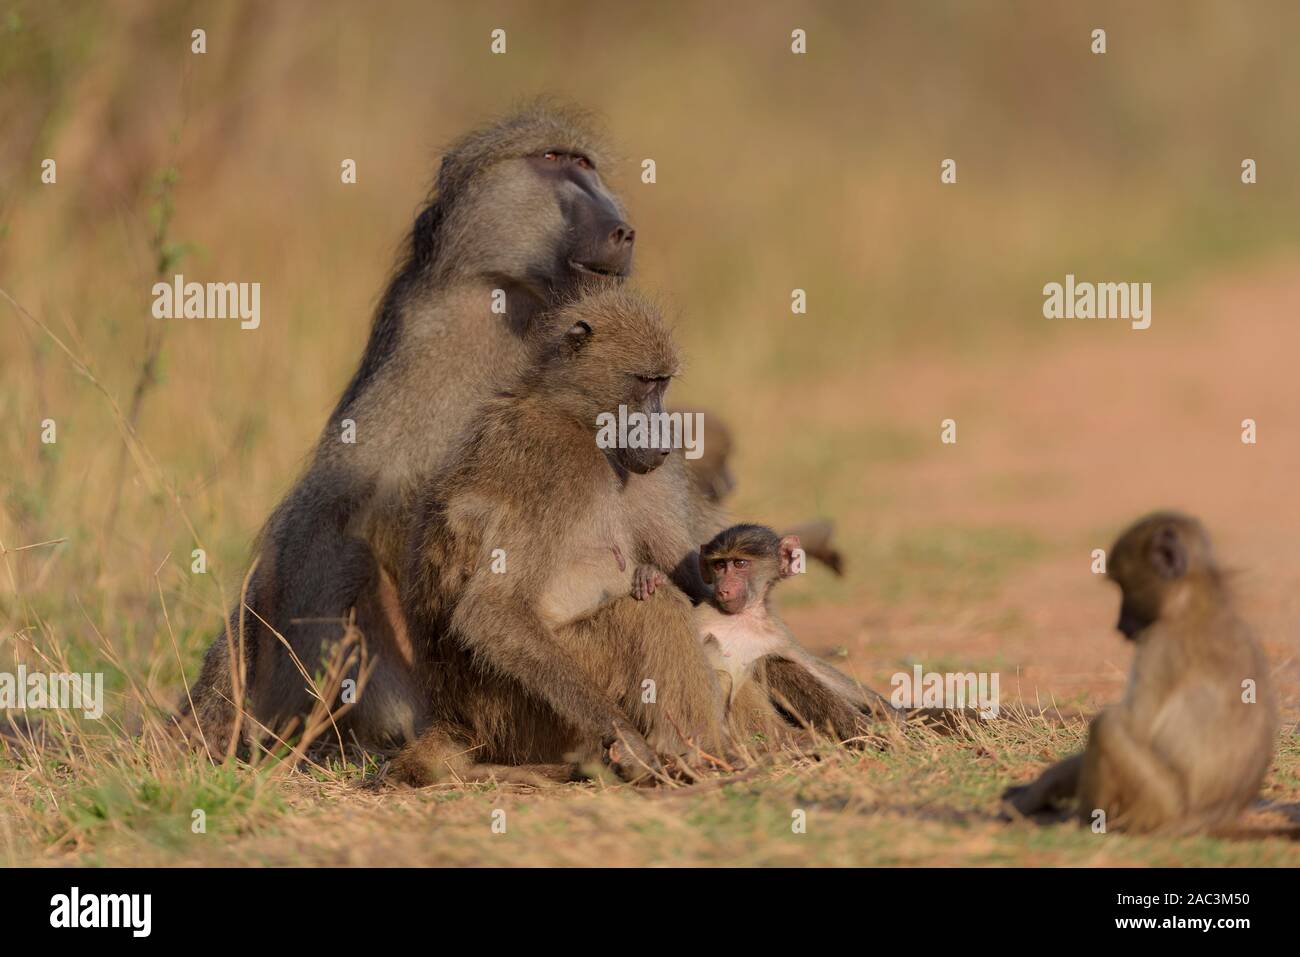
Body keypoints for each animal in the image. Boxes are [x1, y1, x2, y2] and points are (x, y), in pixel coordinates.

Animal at [181, 103, 653, 756]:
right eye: (554, 160)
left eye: (588, 165)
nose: (623, 230)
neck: (516, 298)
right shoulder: (433, 343)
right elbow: (346, 502)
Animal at [385, 287, 728, 786]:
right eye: (646, 382)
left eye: (663, 383)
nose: (665, 445)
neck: (579, 422)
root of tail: (456, 718)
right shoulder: (549, 467)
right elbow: (490, 612)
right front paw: (628, 740)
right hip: (520, 710)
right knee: (652, 612)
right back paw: (694, 759)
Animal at [1002, 512, 1277, 834]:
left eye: (1124, 585)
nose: (1119, 625)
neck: (1194, 595)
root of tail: (1203, 820)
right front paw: (1040, 788)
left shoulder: (1159, 645)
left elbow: (1136, 726)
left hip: (1159, 806)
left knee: (1107, 726)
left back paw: (1084, 820)